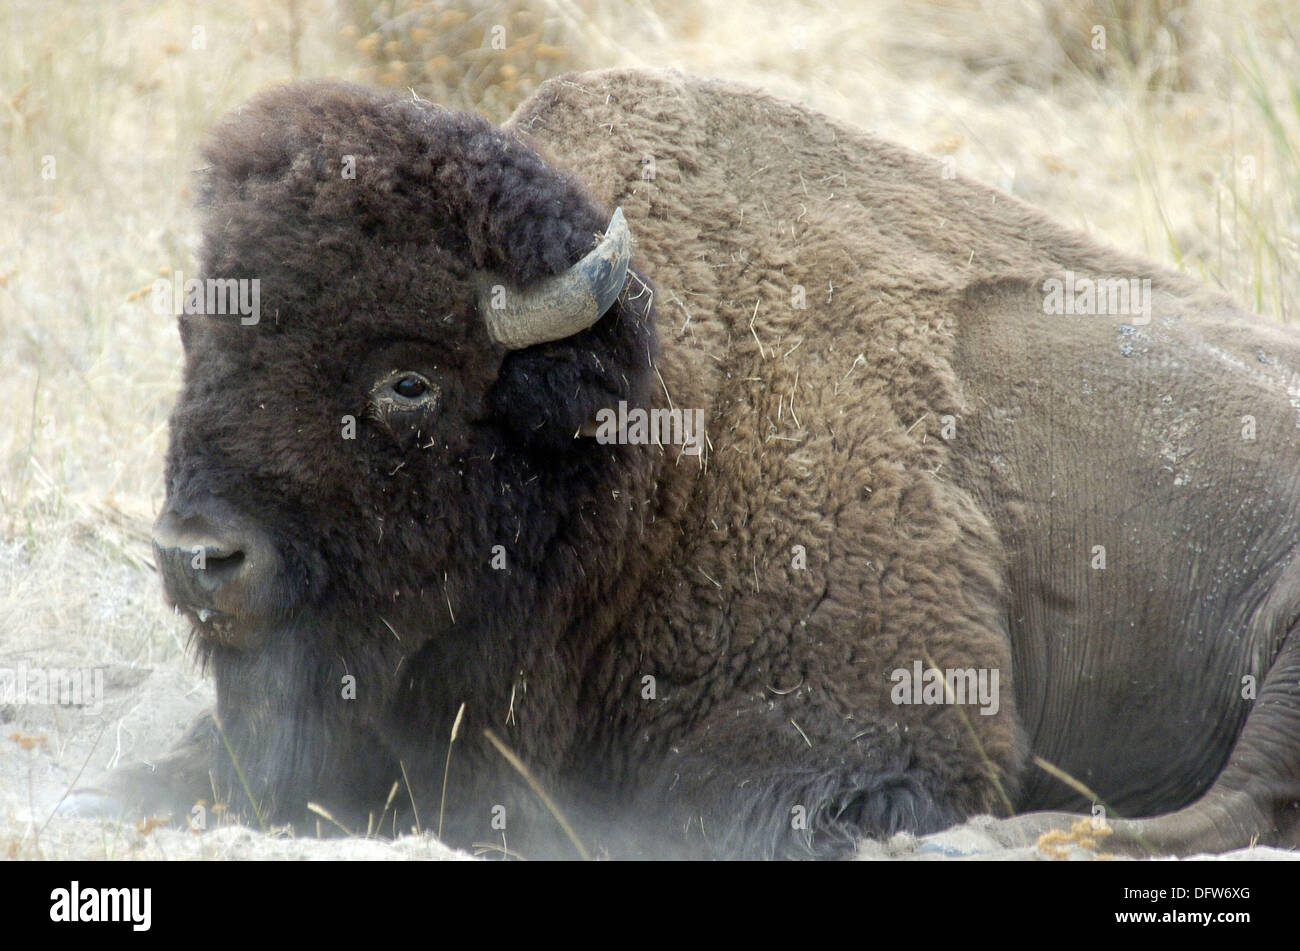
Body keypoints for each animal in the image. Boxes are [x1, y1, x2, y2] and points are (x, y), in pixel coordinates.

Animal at [83, 68, 1300, 858]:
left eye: (409, 381)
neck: (653, 433)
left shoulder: (882, 729)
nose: (198, 557)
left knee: (1232, 803)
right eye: (195, 335)